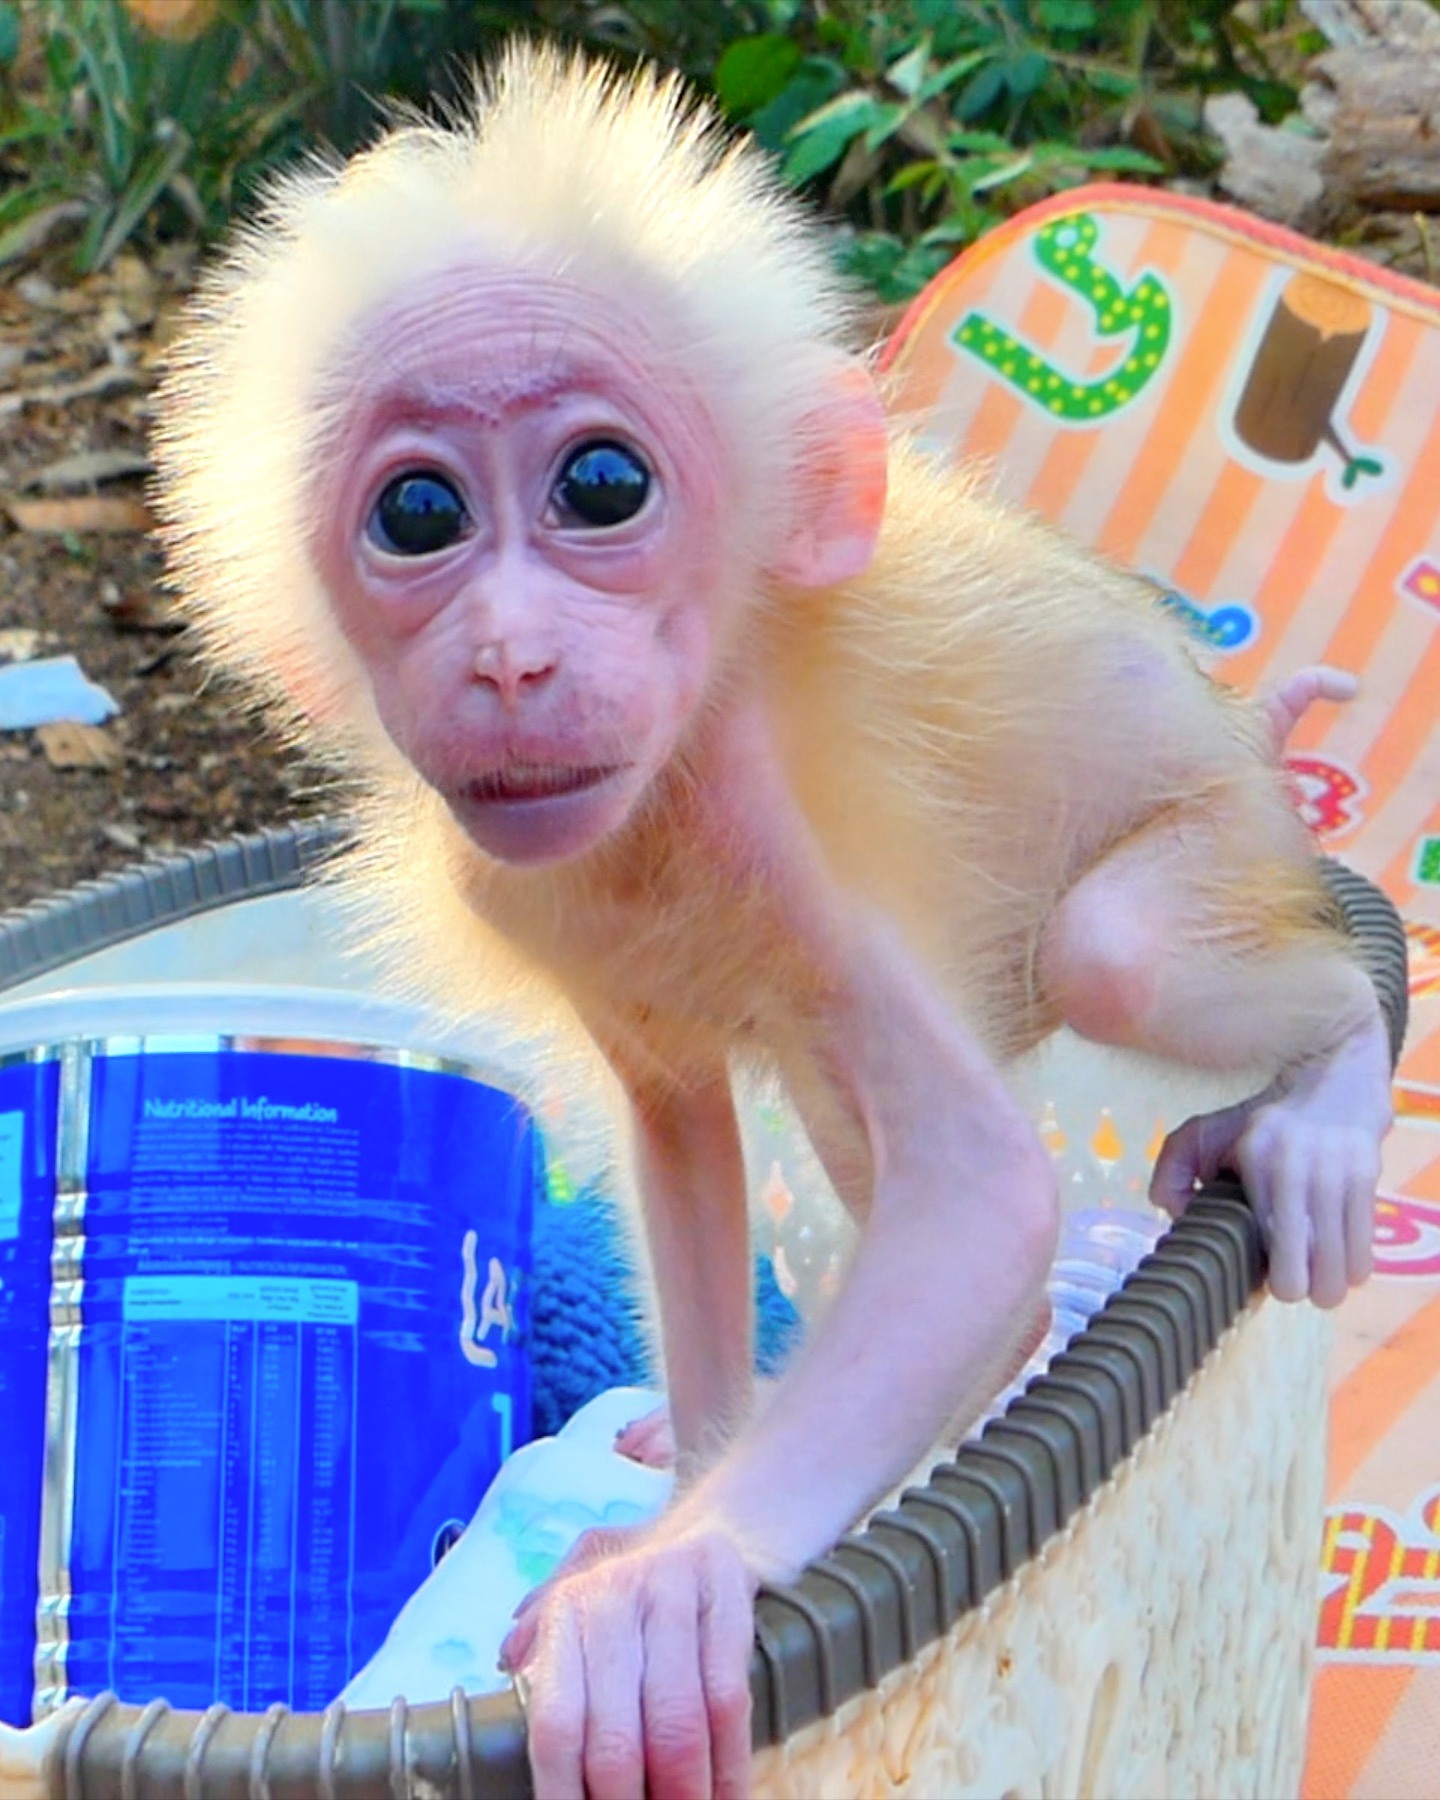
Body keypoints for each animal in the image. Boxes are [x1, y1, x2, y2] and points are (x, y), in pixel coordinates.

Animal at [151, 43, 1395, 1800]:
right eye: (417, 517)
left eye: (604, 486)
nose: (512, 657)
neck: (654, 810)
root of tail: (1256, 753)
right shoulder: (529, 893)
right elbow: (679, 1142)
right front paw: (699, 1458)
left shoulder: (766, 810)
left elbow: (983, 1195)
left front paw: (683, 1574)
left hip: (1219, 848)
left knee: (1141, 960)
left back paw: (1329, 1089)